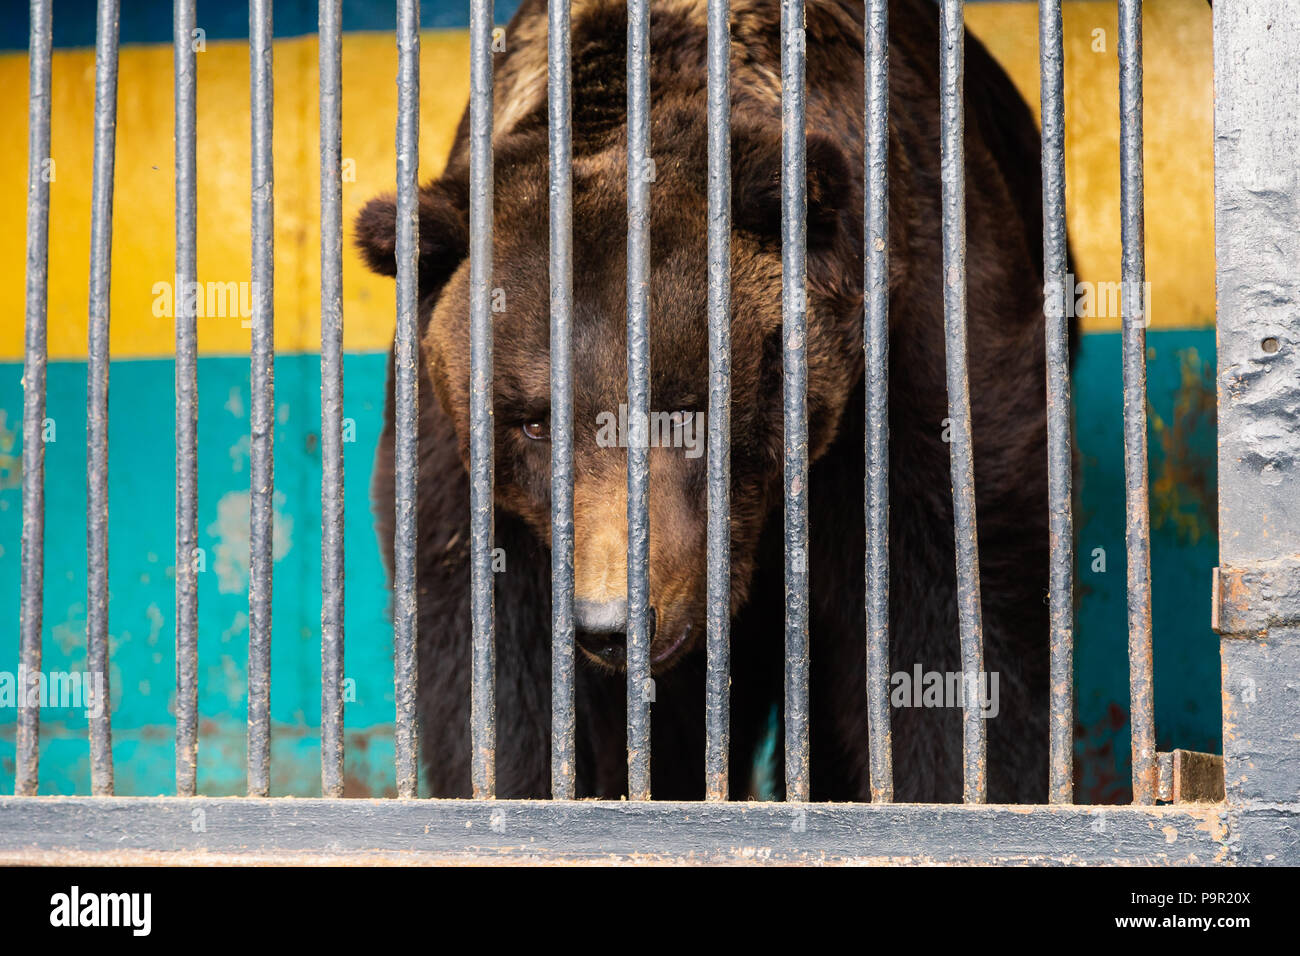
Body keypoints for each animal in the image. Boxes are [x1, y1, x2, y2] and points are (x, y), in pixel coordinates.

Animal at [355, 0, 1065, 802]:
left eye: (684, 411)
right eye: (533, 422)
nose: (615, 622)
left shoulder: (918, 335)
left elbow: (954, 602)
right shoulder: (459, 462)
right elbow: (493, 662)